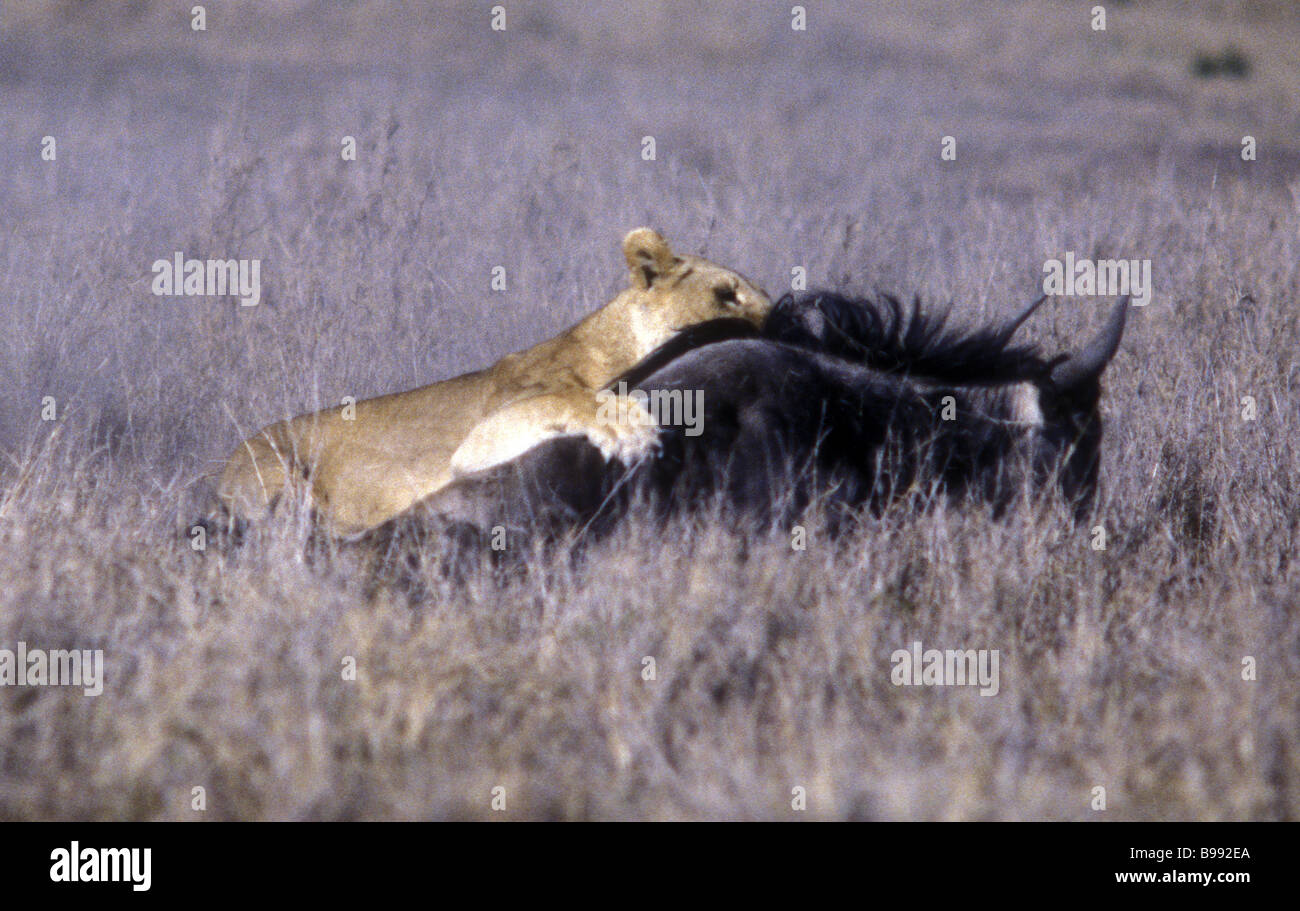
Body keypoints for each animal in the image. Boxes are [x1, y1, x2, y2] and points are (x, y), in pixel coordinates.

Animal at [214, 227, 770, 536]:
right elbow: (568, 398)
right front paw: (626, 427)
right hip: (278, 476)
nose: (781, 321)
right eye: (727, 295)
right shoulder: (474, 445)